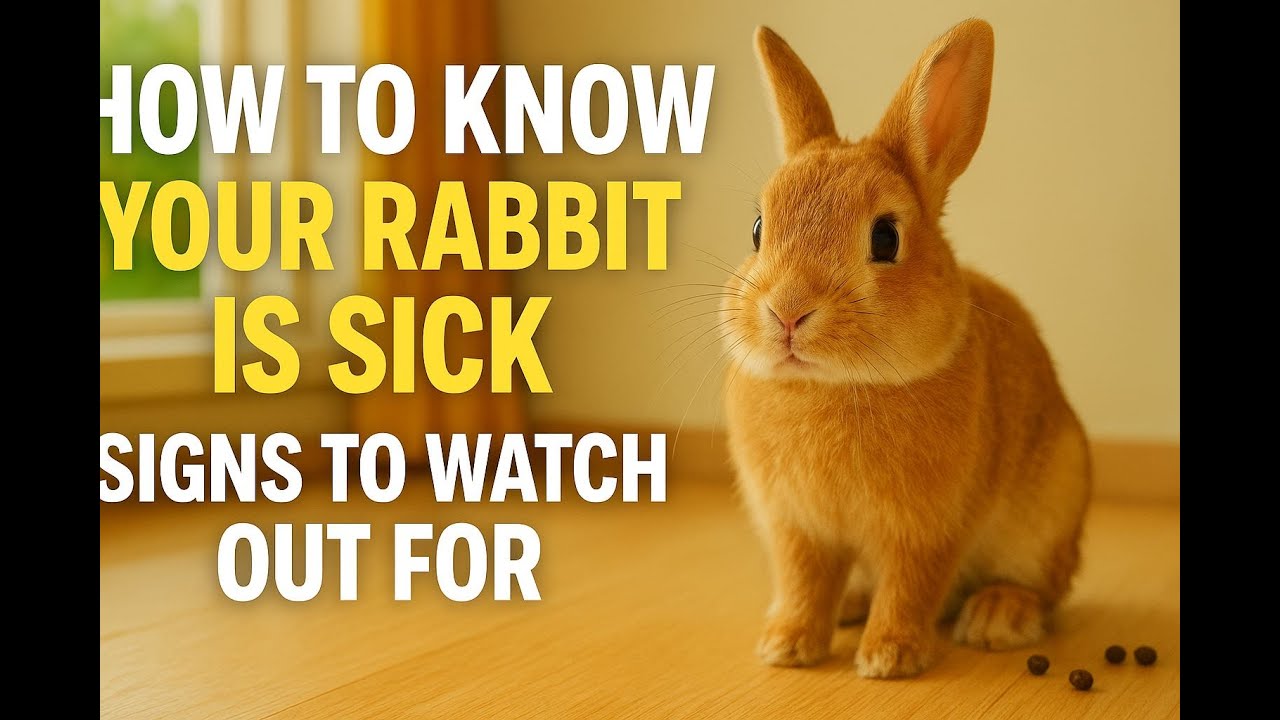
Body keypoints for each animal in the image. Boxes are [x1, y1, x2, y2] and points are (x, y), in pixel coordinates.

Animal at [722, 19, 1091, 679]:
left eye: (886, 238)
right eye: (759, 229)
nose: (787, 311)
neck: (832, 385)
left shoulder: (927, 529)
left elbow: (910, 587)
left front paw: (889, 659)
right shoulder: (797, 528)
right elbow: (802, 583)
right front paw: (786, 646)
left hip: (1050, 513)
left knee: (1040, 589)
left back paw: (997, 617)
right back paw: (849, 605)